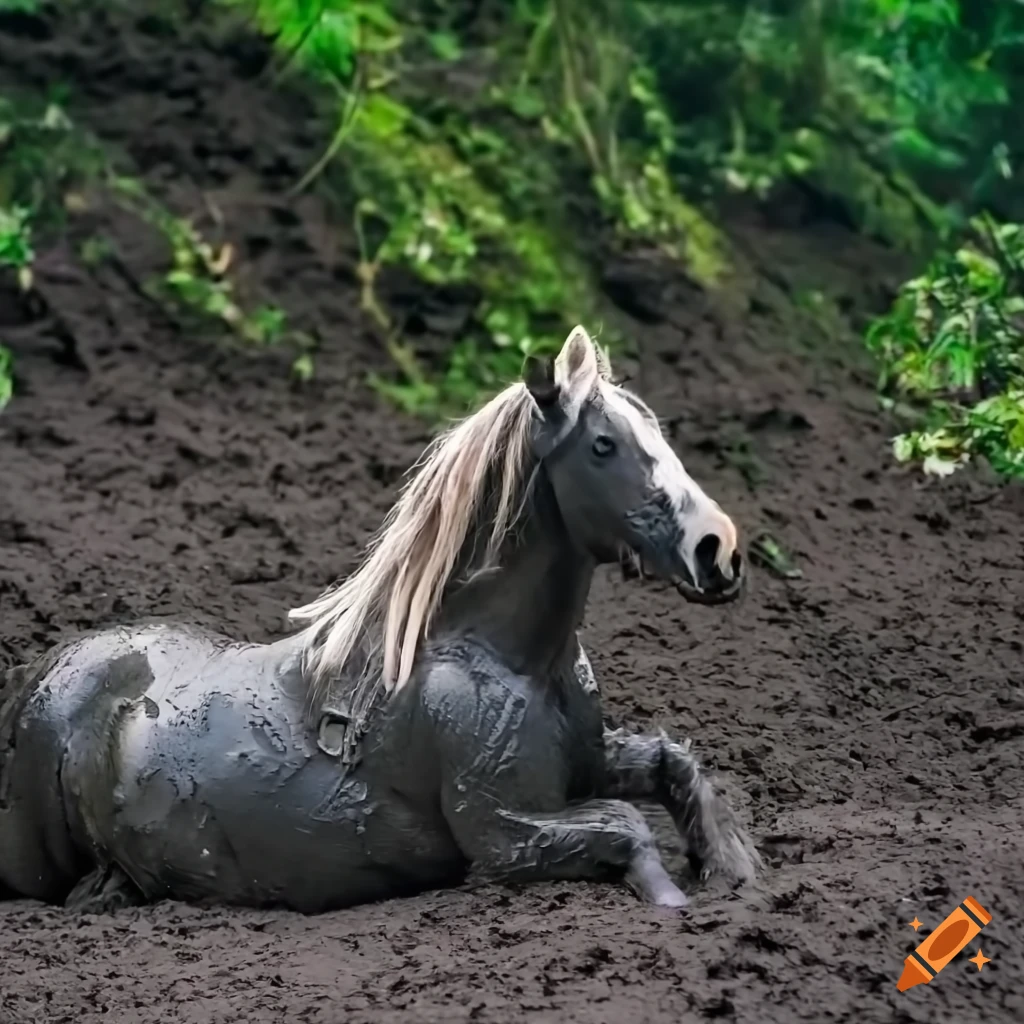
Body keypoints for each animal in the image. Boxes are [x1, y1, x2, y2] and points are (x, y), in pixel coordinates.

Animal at [0, 326, 760, 914]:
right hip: (27, 860)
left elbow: (675, 766)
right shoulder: (504, 835)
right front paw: (674, 902)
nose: (718, 549)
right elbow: (626, 824)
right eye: (603, 444)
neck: (500, 658)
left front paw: (735, 873)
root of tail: (40, 675)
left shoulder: (586, 766)